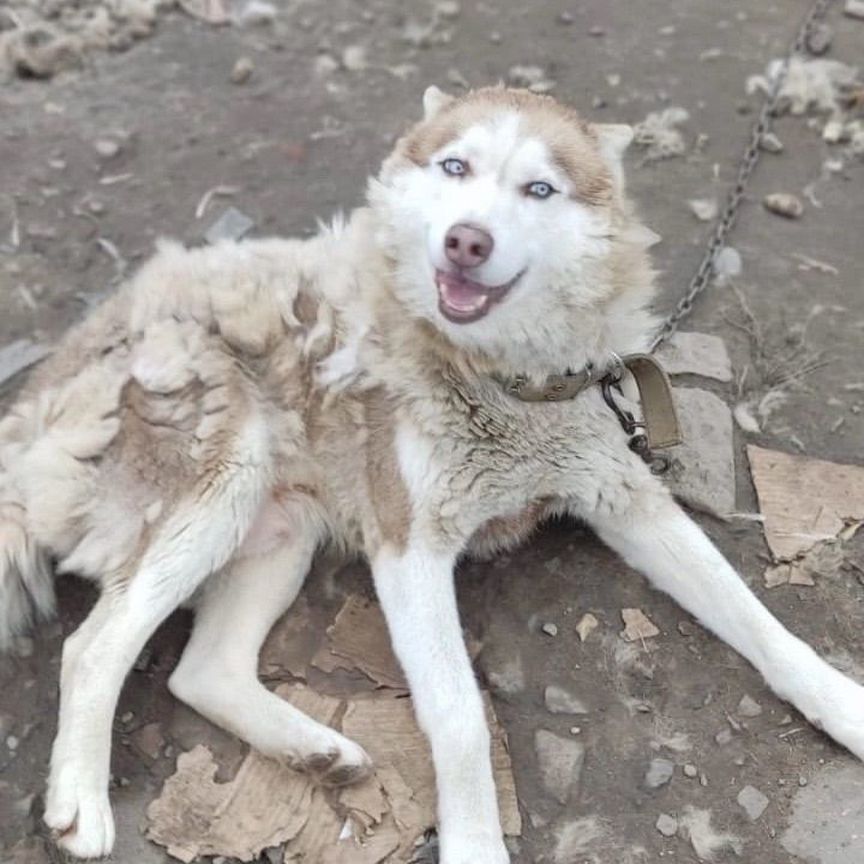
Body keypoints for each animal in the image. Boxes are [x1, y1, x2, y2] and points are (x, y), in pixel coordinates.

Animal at [1, 82, 864, 864]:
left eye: (539, 188)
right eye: (456, 166)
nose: (466, 242)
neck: (499, 381)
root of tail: (32, 408)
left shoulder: (624, 496)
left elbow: (756, 616)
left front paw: (843, 704)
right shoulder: (408, 547)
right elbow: (458, 717)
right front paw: (476, 845)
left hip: (282, 535)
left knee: (201, 671)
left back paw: (317, 752)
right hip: (223, 481)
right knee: (93, 648)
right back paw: (80, 804)